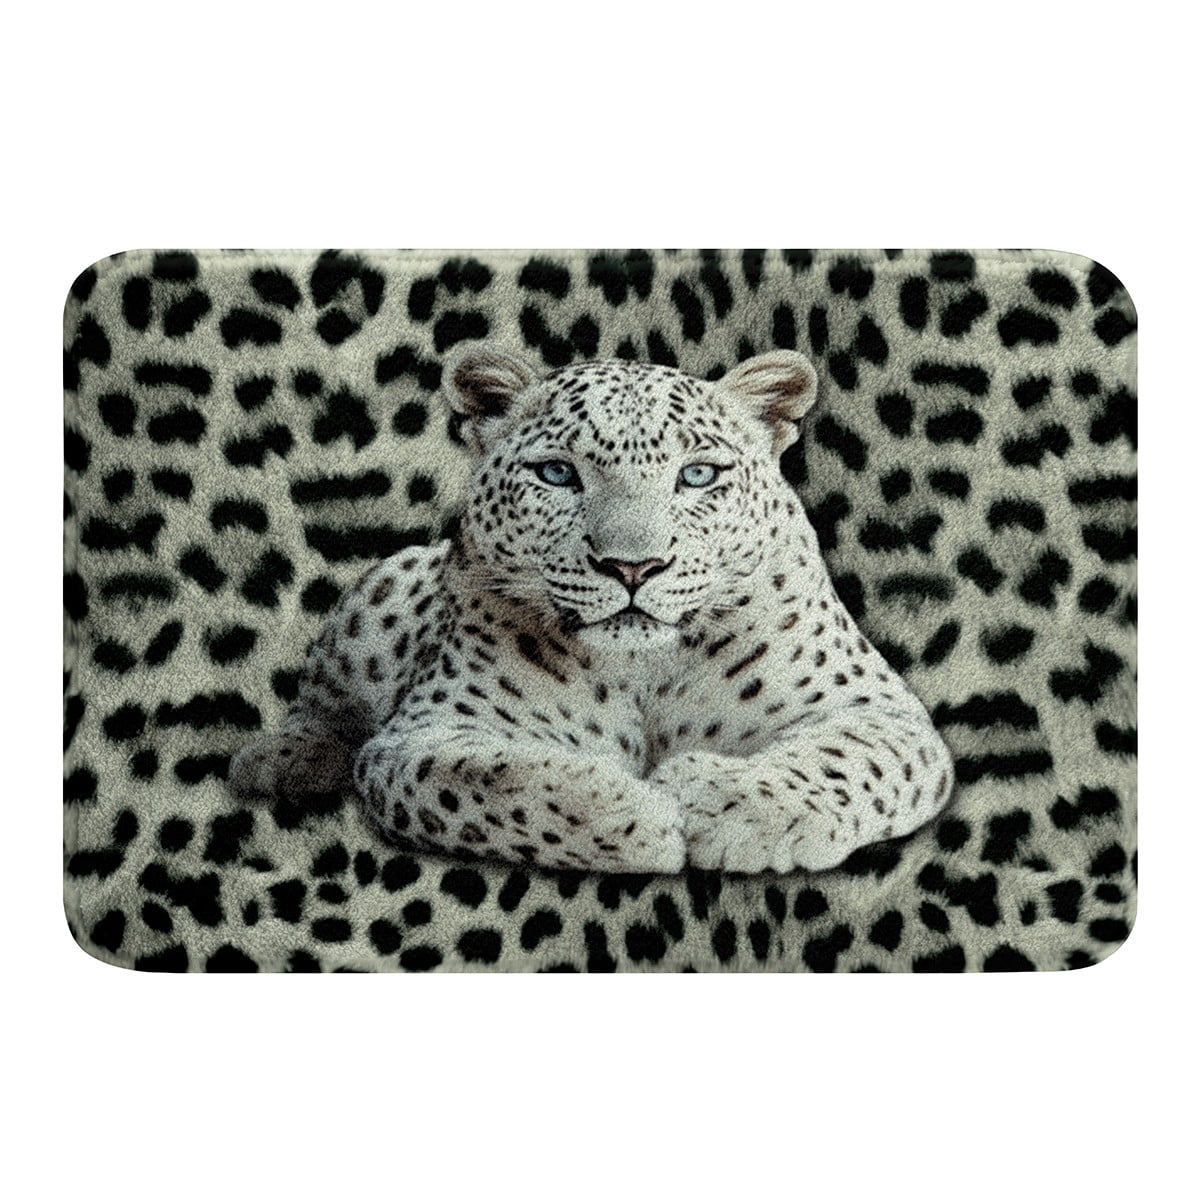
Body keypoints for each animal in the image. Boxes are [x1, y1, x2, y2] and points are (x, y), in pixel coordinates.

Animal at [228, 345, 955, 874]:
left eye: (697, 475)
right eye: (557, 474)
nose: (633, 567)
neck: (645, 669)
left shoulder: (875, 708)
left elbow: (844, 761)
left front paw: (728, 808)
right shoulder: (423, 733)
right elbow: (497, 779)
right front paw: (642, 817)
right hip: (376, 594)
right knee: (324, 696)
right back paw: (280, 759)